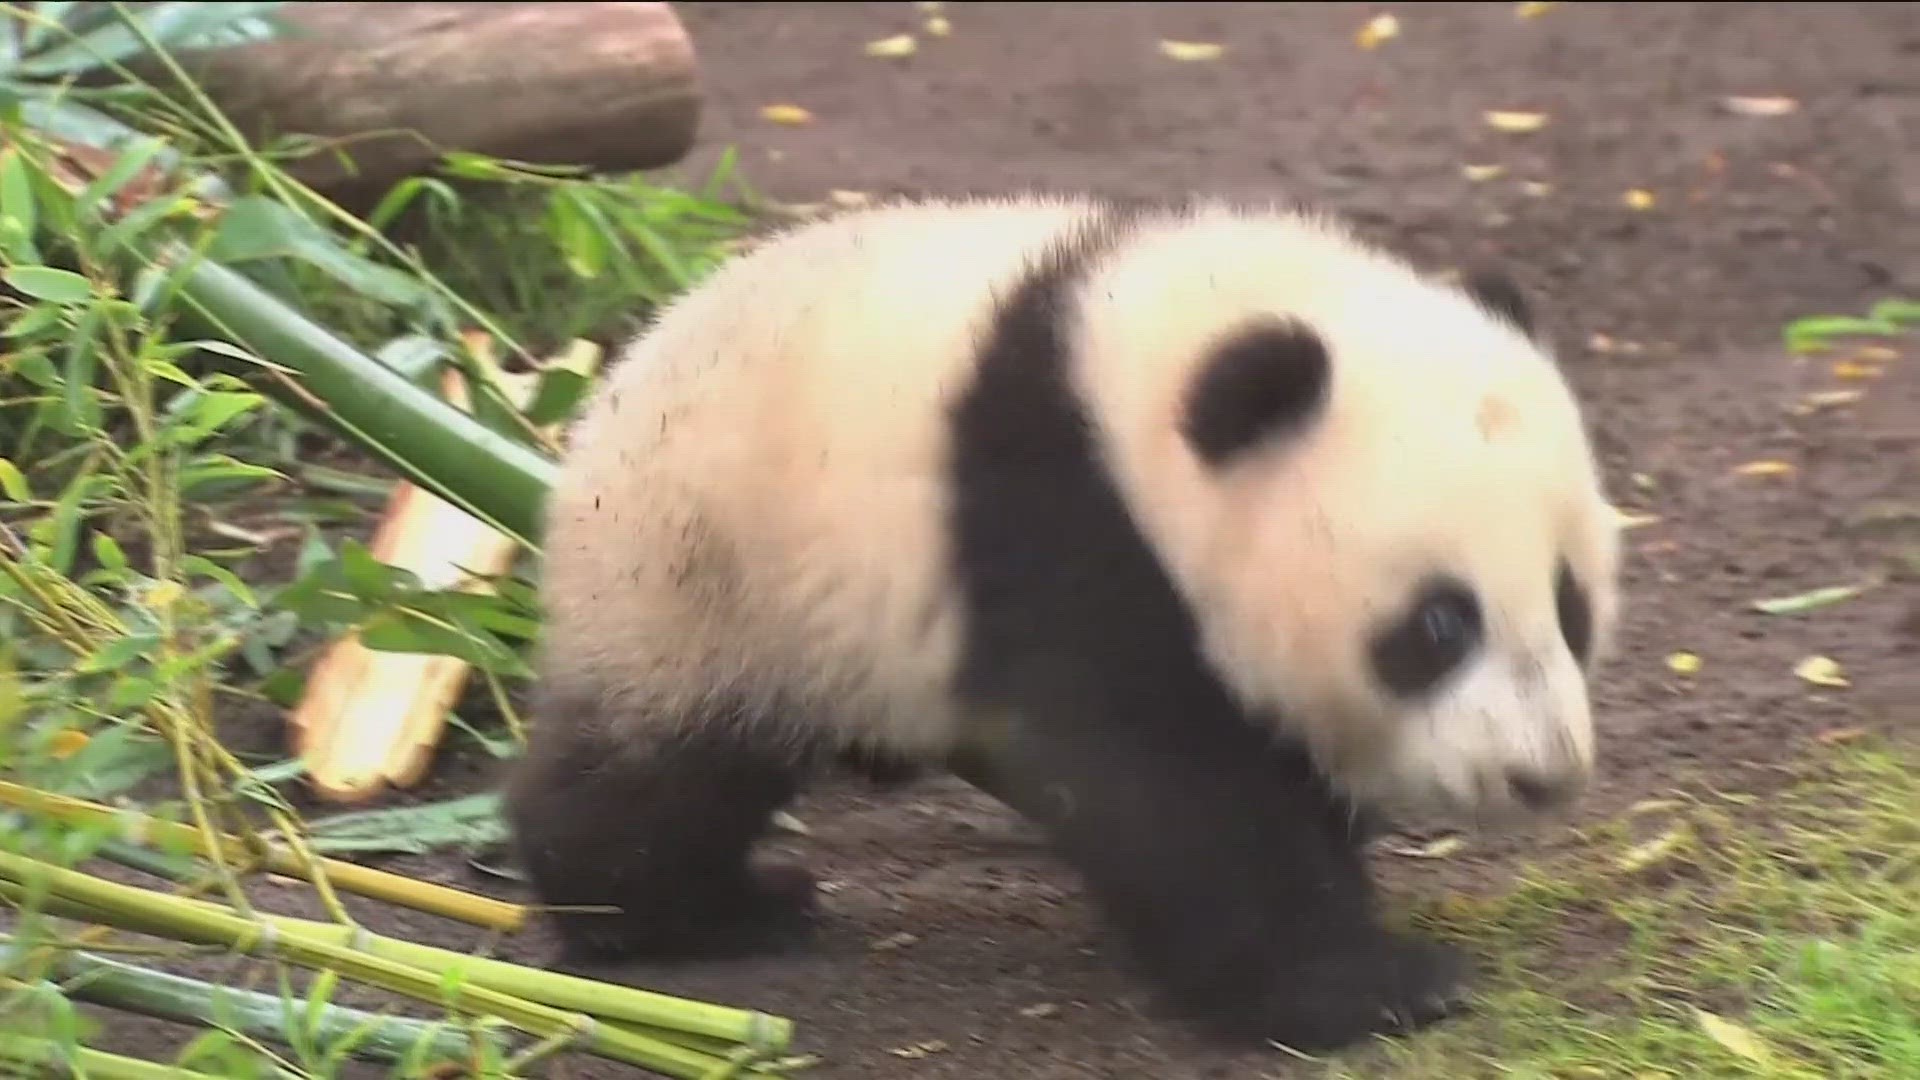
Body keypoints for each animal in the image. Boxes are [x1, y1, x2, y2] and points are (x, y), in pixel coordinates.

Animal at [503, 194, 1623, 1052]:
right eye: (1438, 627)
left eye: (1571, 606)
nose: (1542, 775)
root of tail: (602, 402)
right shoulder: (1061, 525)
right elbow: (1171, 788)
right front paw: (1372, 984)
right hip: (714, 587)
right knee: (661, 776)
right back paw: (691, 910)